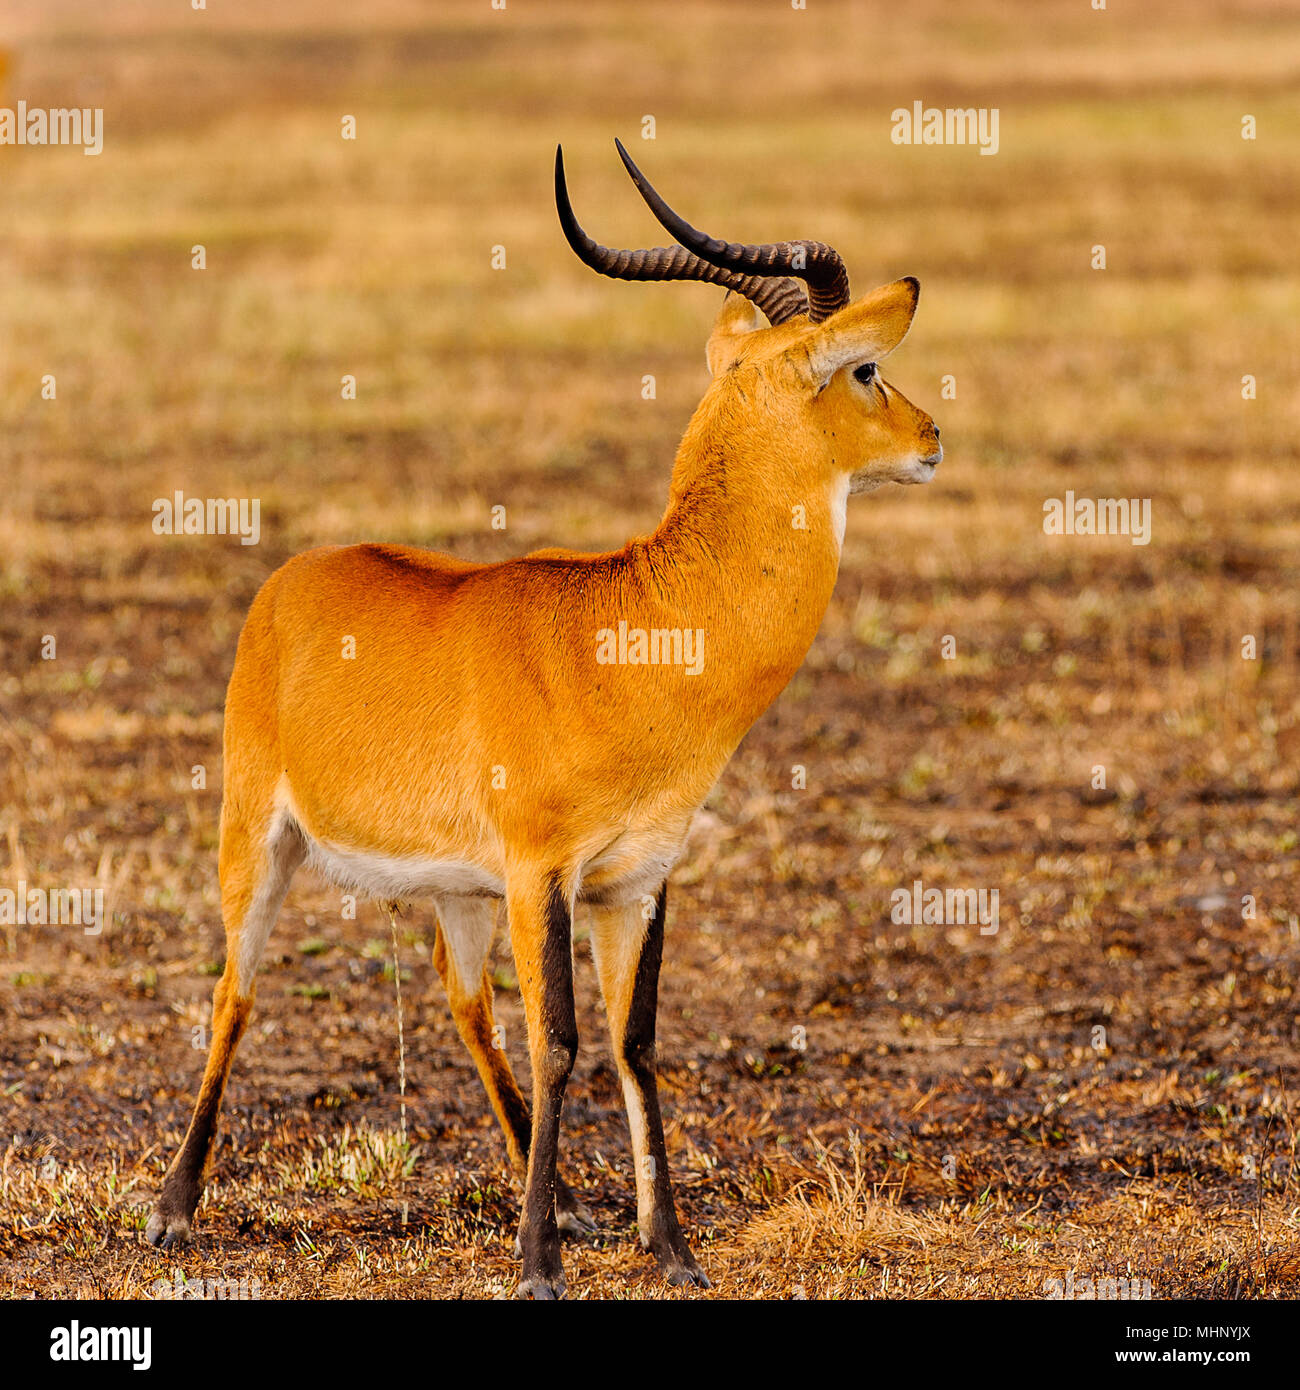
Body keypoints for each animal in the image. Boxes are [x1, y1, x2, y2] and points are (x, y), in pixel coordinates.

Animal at [145, 140, 942, 1298]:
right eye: (866, 370)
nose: (933, 437)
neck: (636, 629)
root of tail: (296, 574)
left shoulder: (637, 878)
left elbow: (634, 1042)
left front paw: (669, 1246)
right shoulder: (542, 872)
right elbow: (561, 1041)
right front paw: (536, 1264)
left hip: (456, 890)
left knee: (462, 999)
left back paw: (562, 1193)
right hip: (259, 838)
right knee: (233, 994)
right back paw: (173, 1209)